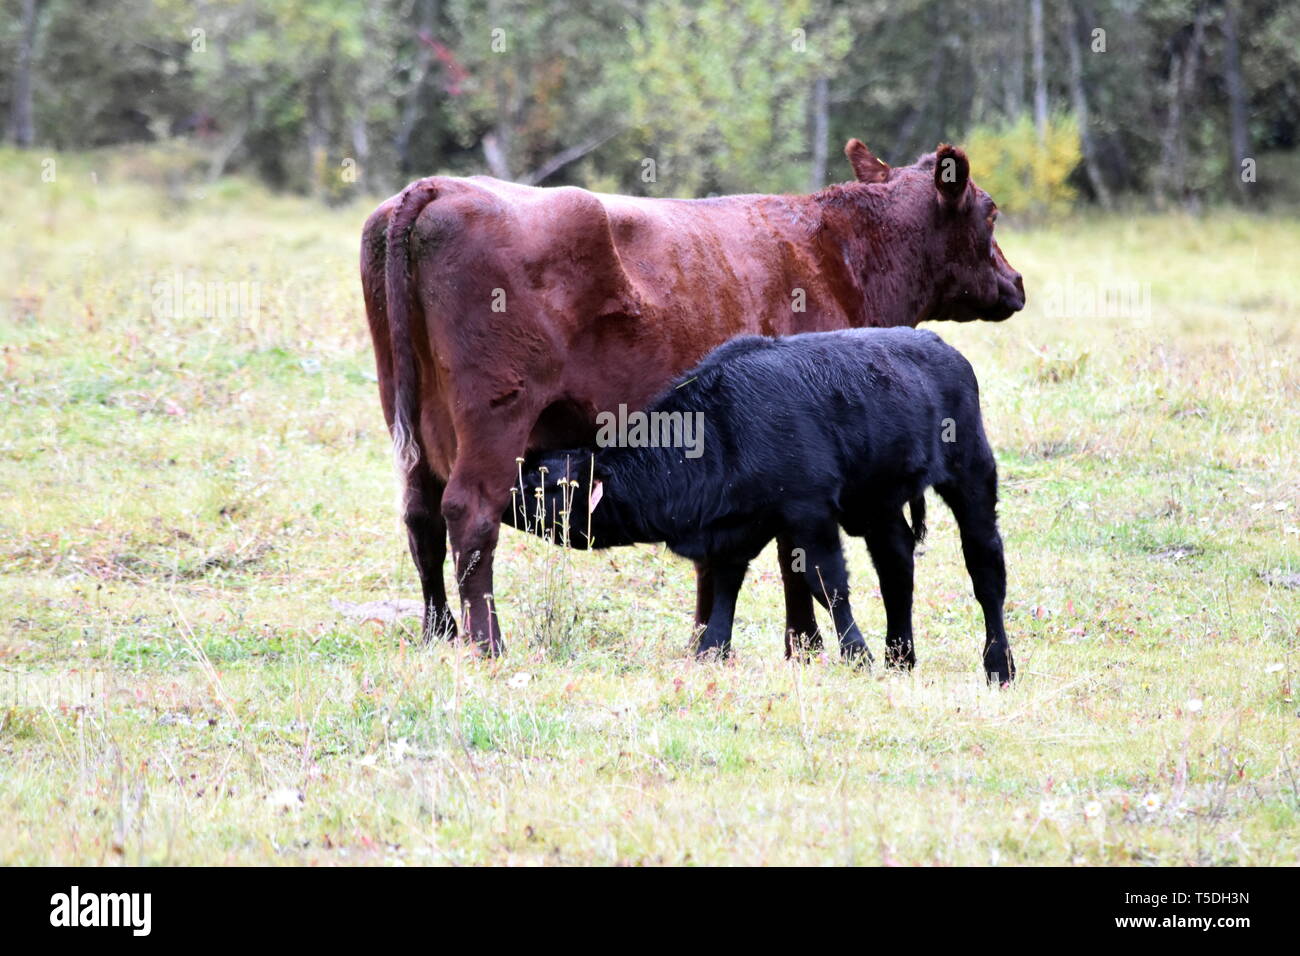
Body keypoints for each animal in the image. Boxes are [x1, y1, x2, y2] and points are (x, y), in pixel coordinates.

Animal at [506, 327, 1015, 684]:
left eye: (545, 484)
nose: (504, 496)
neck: (723, 424)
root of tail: (940, 346)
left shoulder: (809, 513)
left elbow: (827, 583)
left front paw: (856, 655)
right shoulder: (736, 528)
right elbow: (726, 586)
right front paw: (710, 650)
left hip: (972, 475)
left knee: (985, 568)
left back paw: (999, 666)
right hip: (878, 505)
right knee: (897, 567)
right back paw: (901, 658)